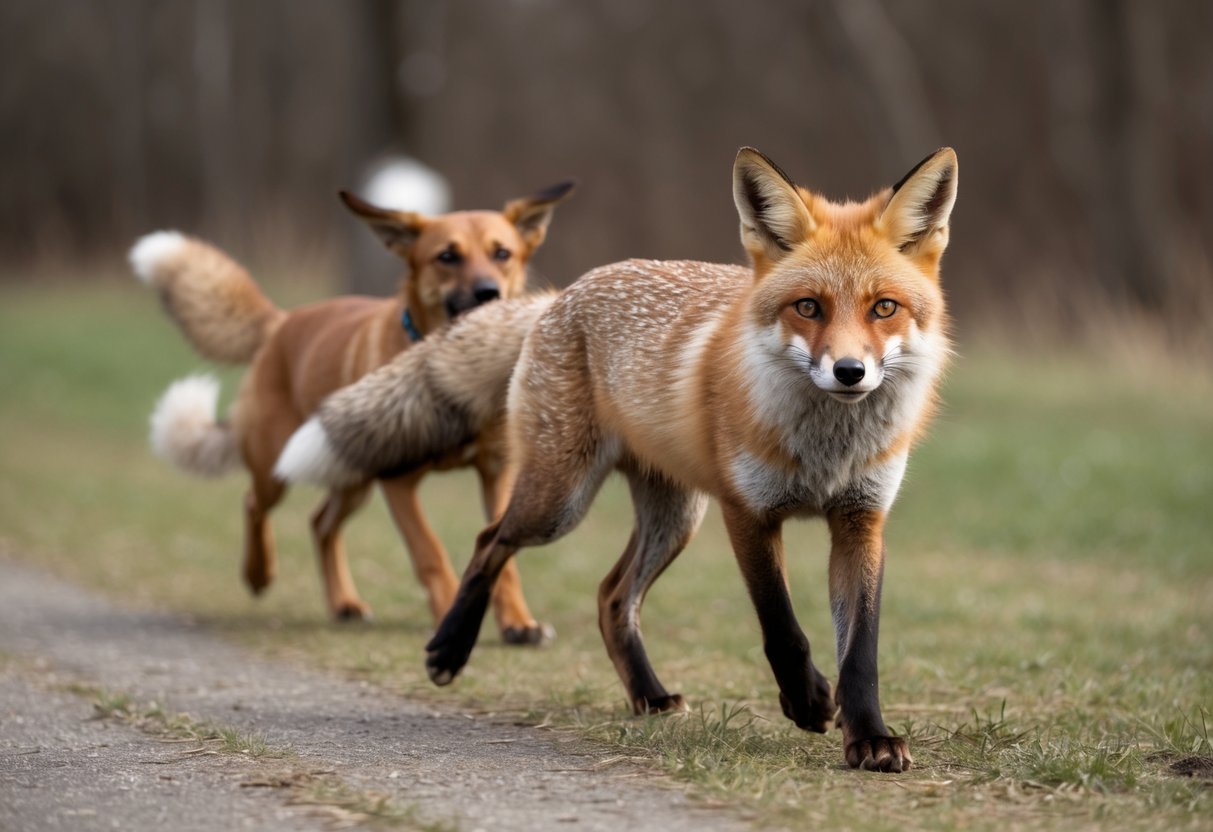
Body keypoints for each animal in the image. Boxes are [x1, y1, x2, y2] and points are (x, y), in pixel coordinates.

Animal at [131, 180, 574, 644]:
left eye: (502, 253)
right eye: (447, 256)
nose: (488, 292)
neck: (448, 372)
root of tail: (281, 323)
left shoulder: (496, 473)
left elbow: (504, 557)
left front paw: (517, 624)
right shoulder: (398, 482)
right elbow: (430, 552)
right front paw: (447, 616)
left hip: (350, 475)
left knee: (321, 523)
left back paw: (343, 602)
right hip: (281, 469)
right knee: (255, 503)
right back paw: (258, 573)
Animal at [276, 147, 956, 772]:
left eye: (884, 308)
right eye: (808, 307)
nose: (849, 372)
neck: (824, 451)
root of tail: (560, 294)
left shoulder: (861, 520)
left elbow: (861, 649)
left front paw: (869, 737)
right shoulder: (748, 514)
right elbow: (782, 628)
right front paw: (809, 702)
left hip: (675, 518)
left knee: (611, 595)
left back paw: (648, 695)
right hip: (561, 500)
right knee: (490, 540)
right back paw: (450, 649)